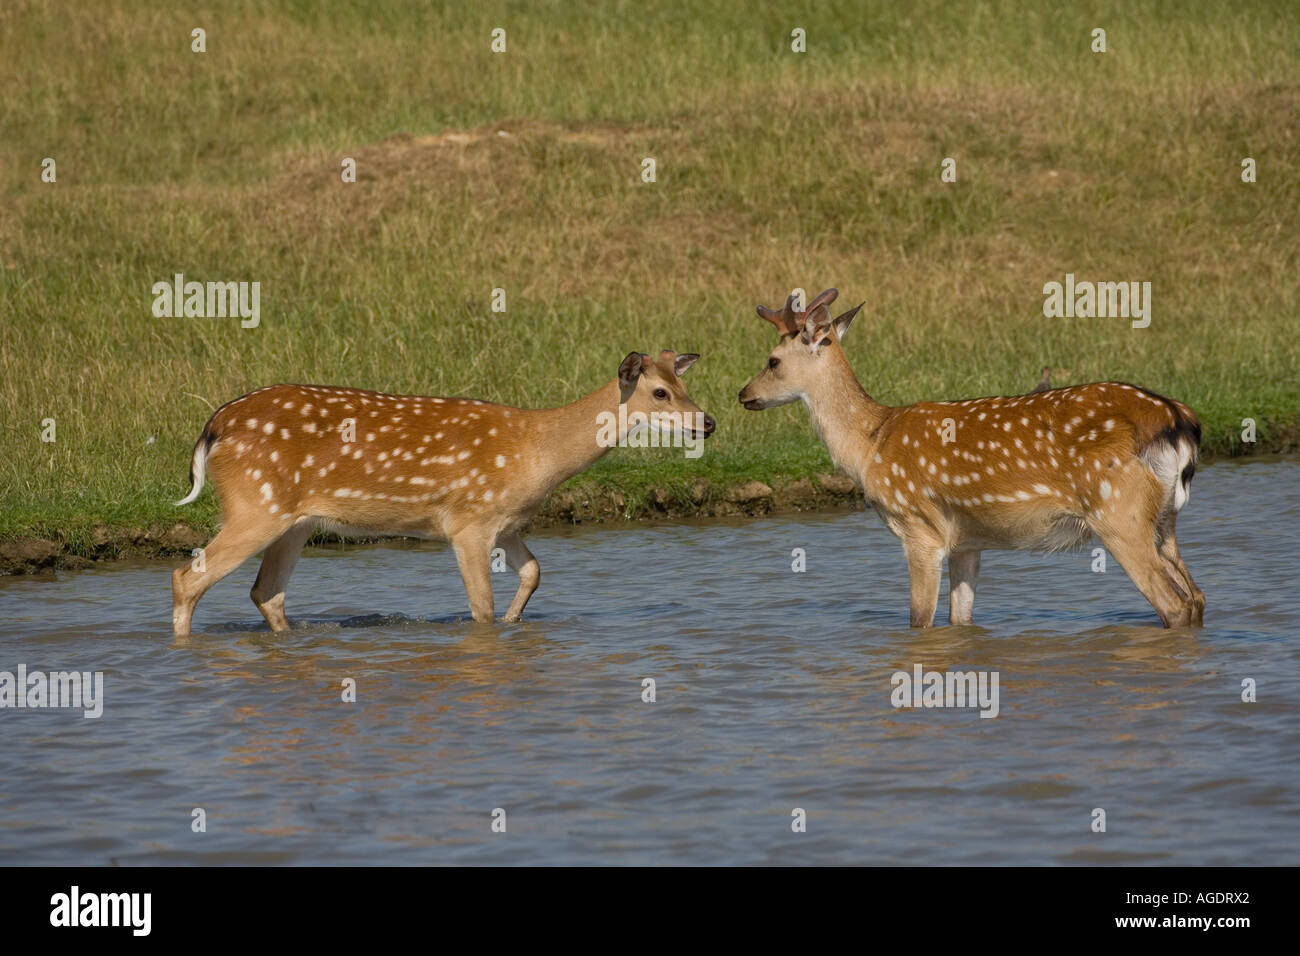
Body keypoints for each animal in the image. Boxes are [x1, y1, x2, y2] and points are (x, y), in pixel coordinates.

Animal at [171, 350, 715, 636]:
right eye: (660, 393)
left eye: (685, 386)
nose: (707, 422)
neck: (534, 453)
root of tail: (215, 426)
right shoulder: (469, 521)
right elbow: (481, 606)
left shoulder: (507, 524)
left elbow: (535, 572)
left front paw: (518, 624)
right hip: (255, 505)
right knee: (187, 577)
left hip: (293, 522)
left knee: (266, 592)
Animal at [738, 288, 1205, 629]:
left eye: (772, 361)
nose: (744, 394)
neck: (870, 445)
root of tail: (1178, 418)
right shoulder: (967, 541)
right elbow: (959, 620)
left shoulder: (918, 527)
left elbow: (920, 621)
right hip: (1164, 519)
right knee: (1196, 597)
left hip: (1118, 511)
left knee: (1174, 604)